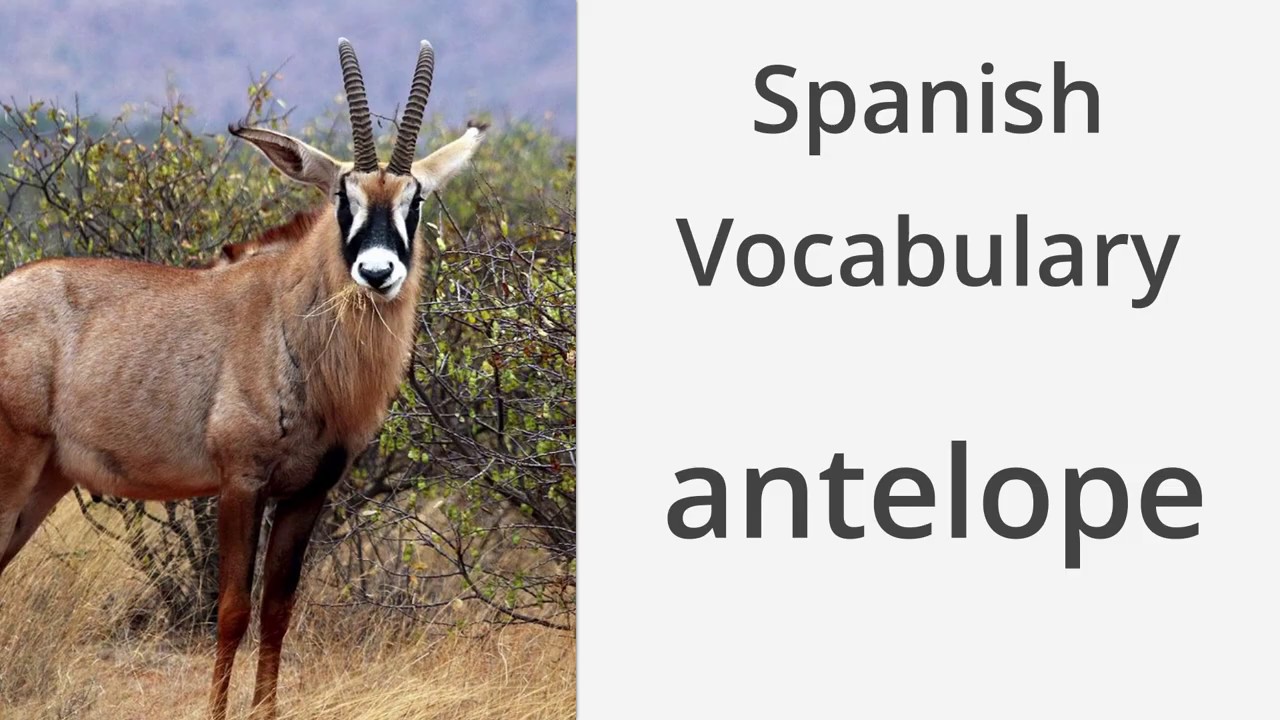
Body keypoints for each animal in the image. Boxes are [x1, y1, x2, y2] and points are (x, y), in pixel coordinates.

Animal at [0, 38, 484, 719]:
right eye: (344, 197)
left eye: (414, 202)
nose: (377, 272)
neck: (291, 320)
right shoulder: (240, 482)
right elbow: (231, 610)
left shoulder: (307, 494)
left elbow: (277, 612)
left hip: (46, 480)